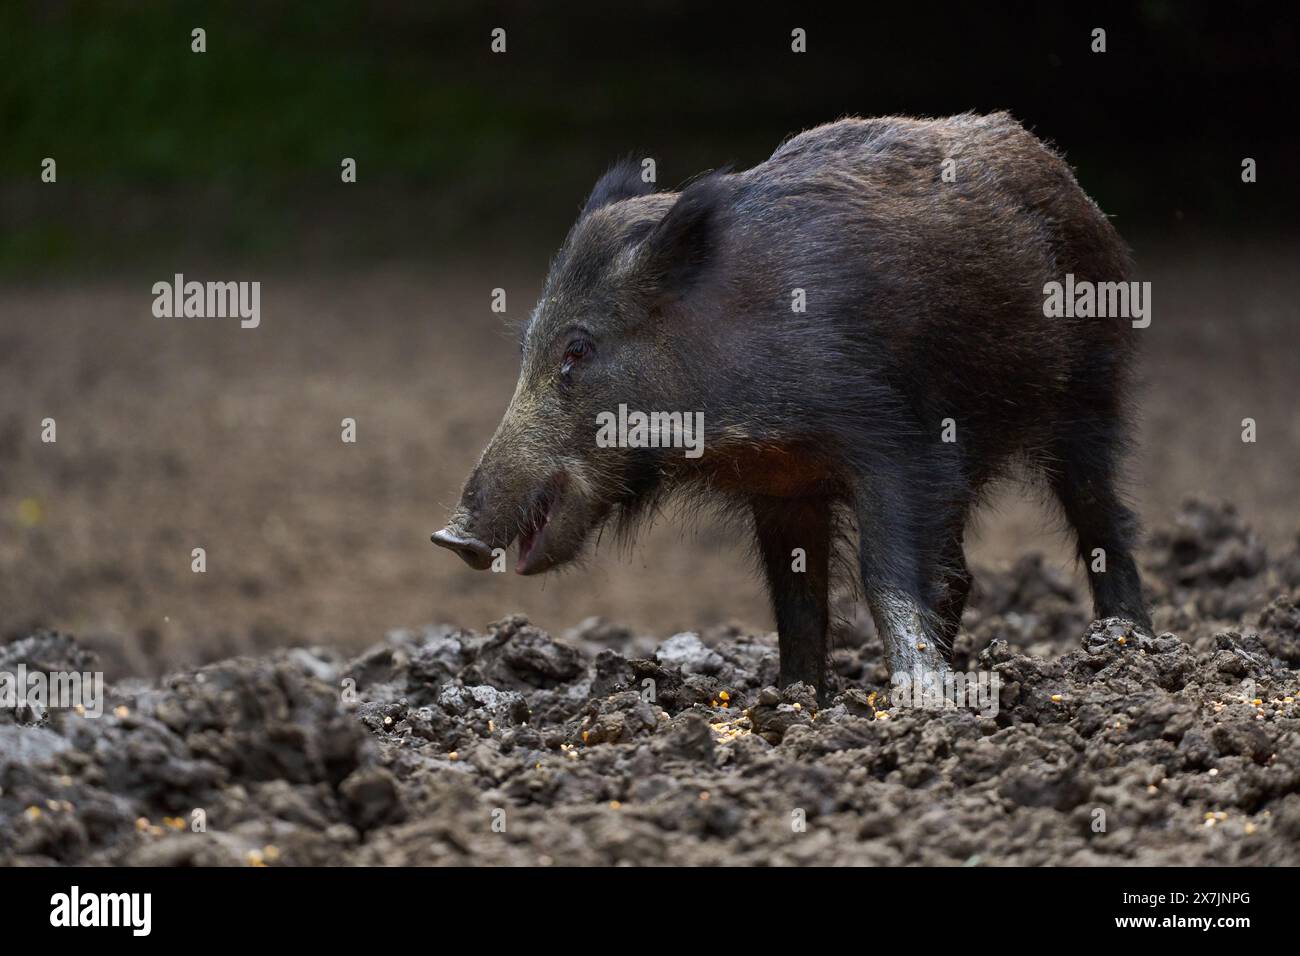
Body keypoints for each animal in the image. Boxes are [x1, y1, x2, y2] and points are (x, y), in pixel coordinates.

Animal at [433, 112, 1152, 699]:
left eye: (577, 348)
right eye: (526, 348)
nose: (451, 536)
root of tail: (1061, 172)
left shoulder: (901, 446)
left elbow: (882, 574)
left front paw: (924, 698)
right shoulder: (782, 486)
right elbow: (795, 599)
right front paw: (797, 696)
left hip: (1090, 393)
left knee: (1102, 520)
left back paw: (1128, 645)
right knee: (962, 573)